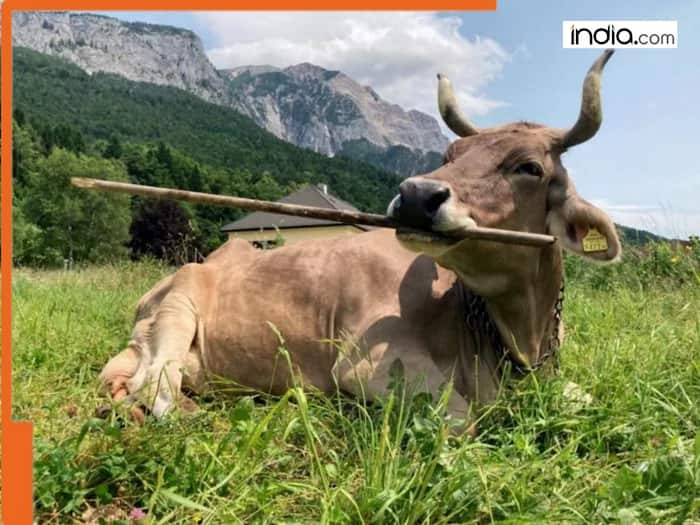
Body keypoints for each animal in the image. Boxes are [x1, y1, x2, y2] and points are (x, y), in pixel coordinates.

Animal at [99, 50, 621, 432]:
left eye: (529, 167)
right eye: (450, 154)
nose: (415, 195)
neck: (518, 340)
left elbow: (592, 400)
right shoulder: (369, 365)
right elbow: (463, 420)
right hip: (178, 307)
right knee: (156, 384)